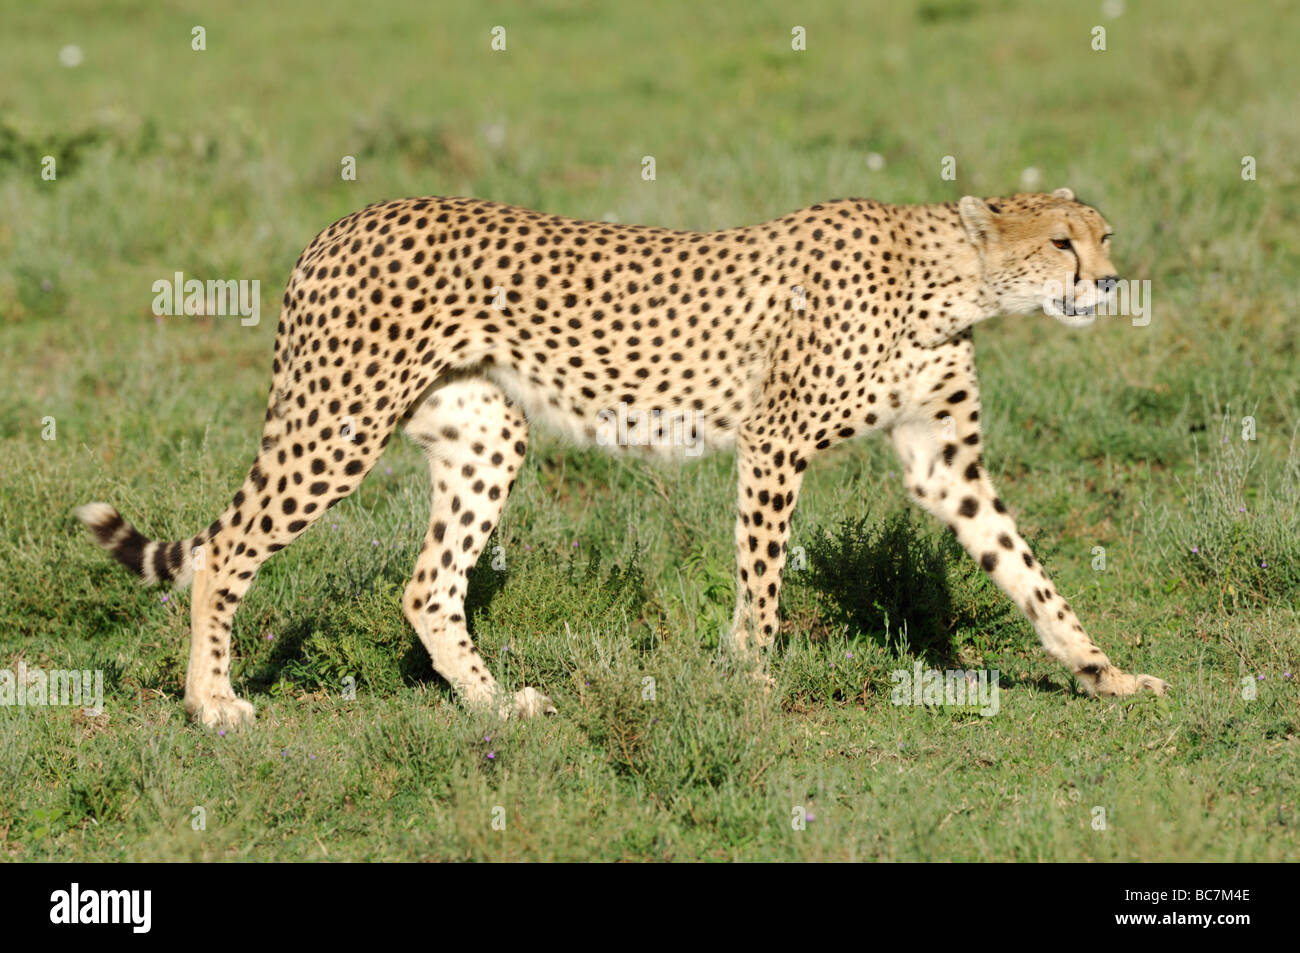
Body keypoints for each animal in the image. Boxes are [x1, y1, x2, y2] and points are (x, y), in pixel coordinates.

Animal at [78, 187, 1169, 727]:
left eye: (1104, 235)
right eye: (1062, 242)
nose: (1110, 283)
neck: (949, 278)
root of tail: (341, 222)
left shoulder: (945, 464)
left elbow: (1029, 573)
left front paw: (1105, 675)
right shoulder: (775, 444)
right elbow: (762, 585)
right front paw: (753, 686)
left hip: (487, 431)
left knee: (428, 585)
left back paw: (495, 705)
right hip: (338, 422)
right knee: (226, 551)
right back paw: (213, 703)